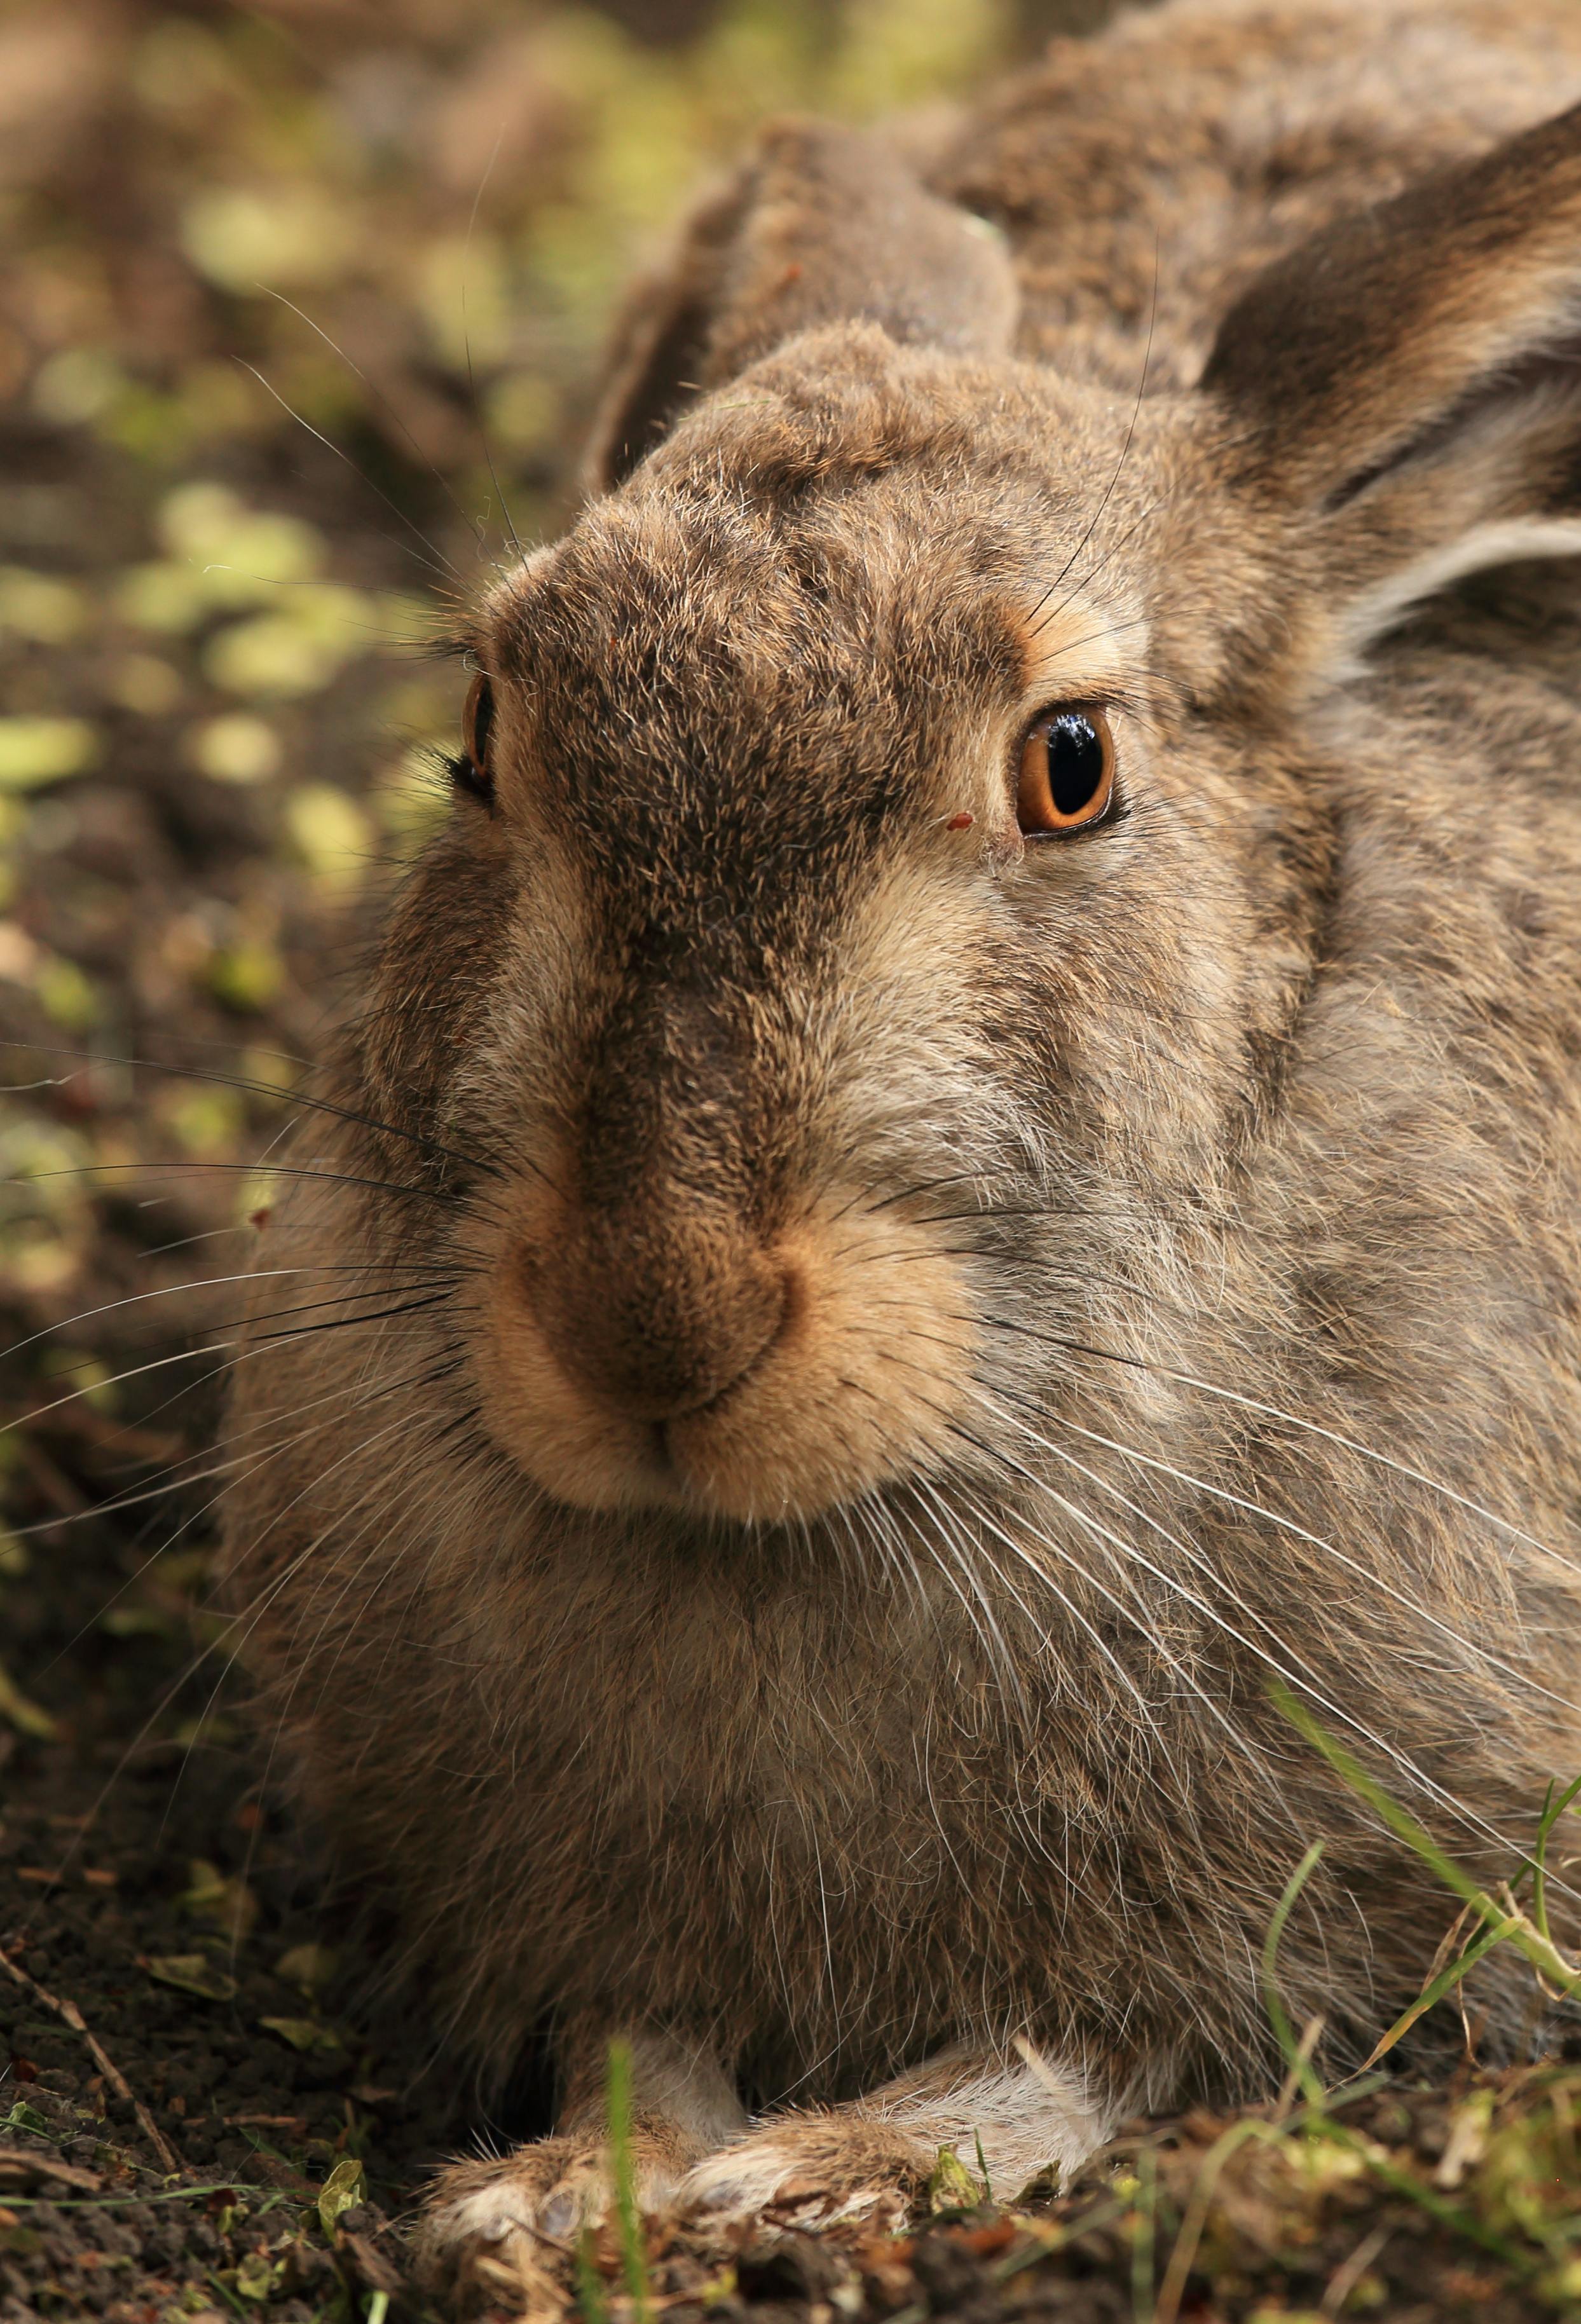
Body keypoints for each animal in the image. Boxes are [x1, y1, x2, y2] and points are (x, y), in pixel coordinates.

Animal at [222, 0, 1581, 2295]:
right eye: (484, 737)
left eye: (1069, 768)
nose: (652, 1314)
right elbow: (641, 2023)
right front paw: (563, 2189)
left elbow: (1093, 2055)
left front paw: (821, 2174)